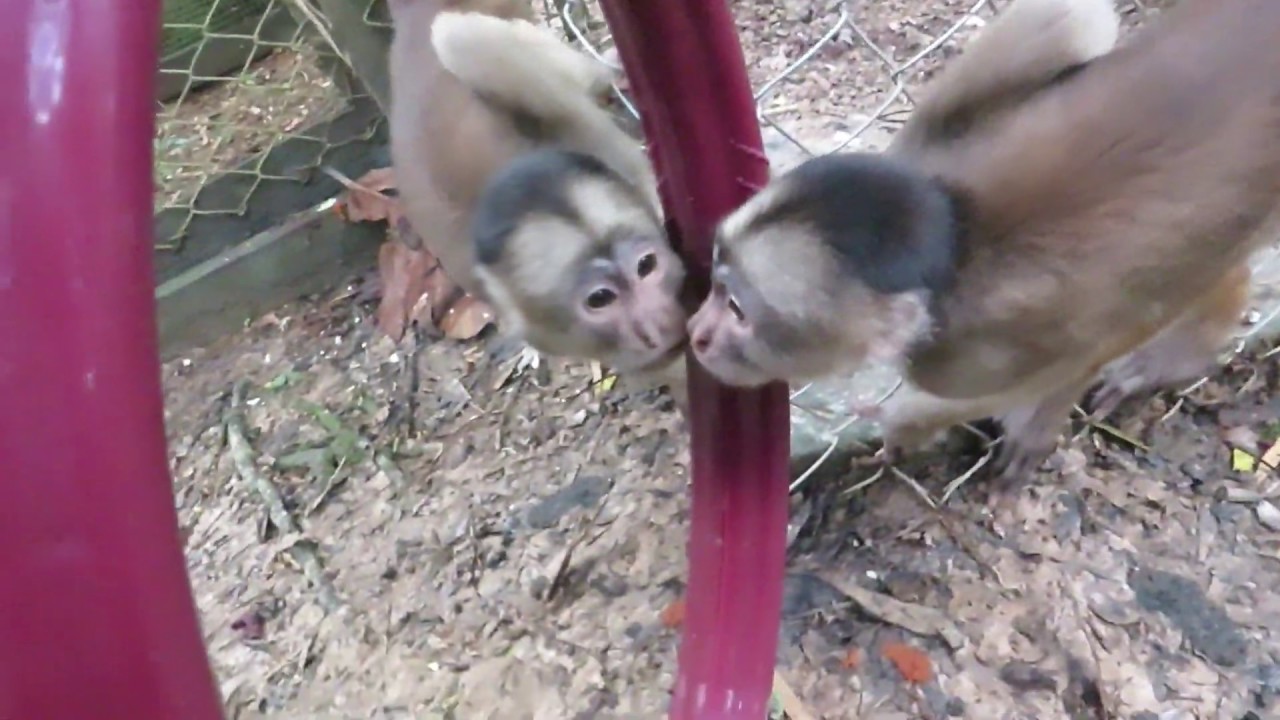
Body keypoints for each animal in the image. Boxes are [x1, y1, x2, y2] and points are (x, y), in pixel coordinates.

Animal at [687, 0, 1278, 488]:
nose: (697, 333)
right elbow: (1069, 19)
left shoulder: (967, 355)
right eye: (714, 281)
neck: (959, 249)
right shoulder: (920, 146)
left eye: (737, 309)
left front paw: (912, 425)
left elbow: (1088, 349)